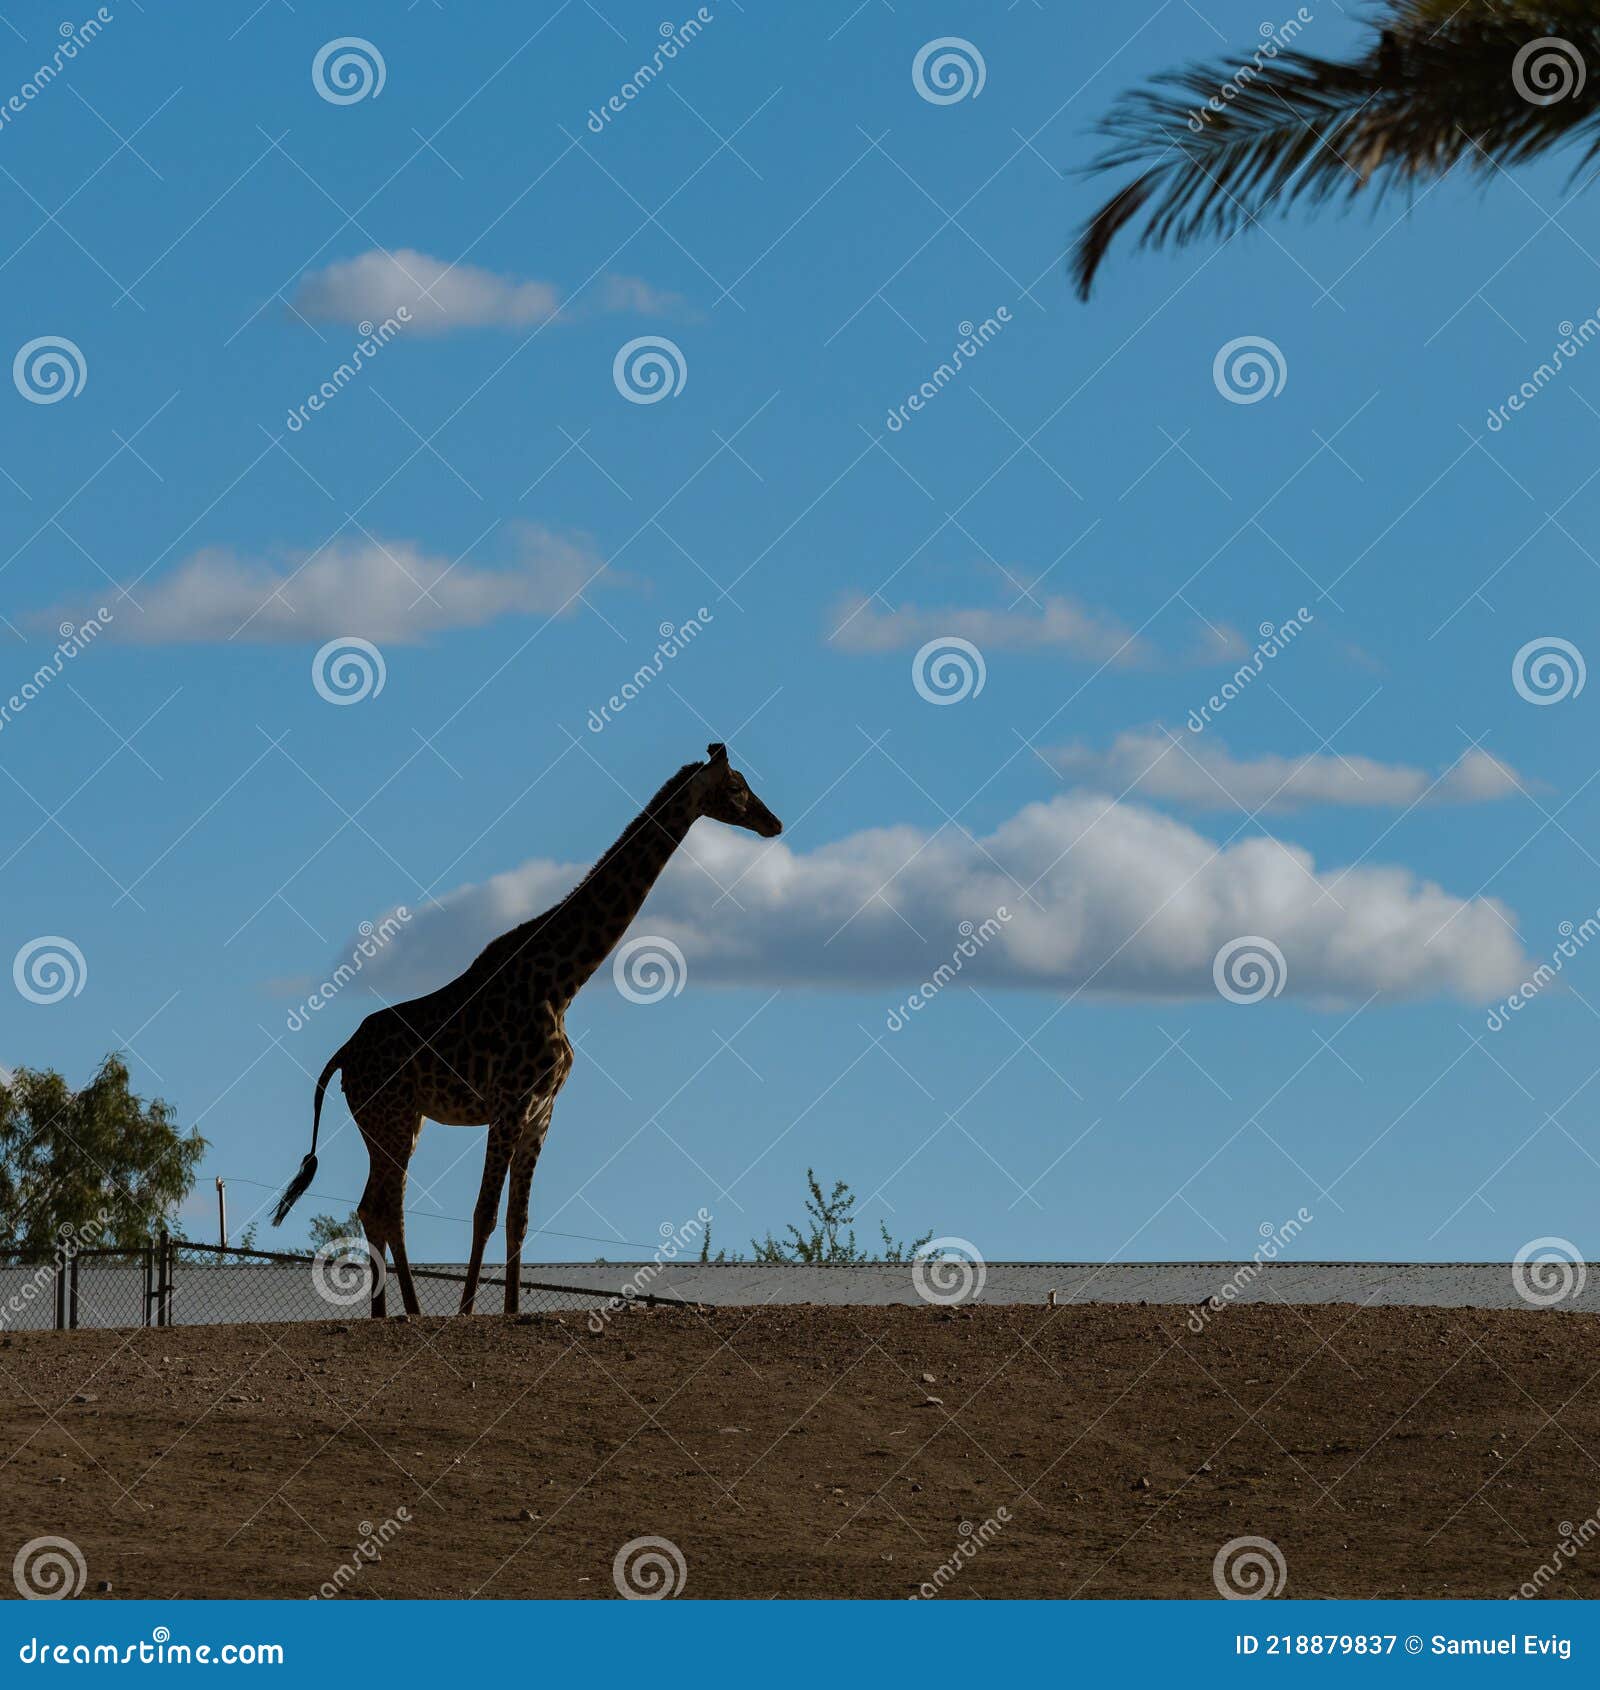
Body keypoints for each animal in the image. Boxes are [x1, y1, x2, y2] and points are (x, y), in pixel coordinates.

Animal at [271, 744, 782, 1319]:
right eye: (737, 786)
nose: (774, 823)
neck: (562, 984)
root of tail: (341, 1056)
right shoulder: (510, 1102)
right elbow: (484, 1212)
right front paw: (467, 1310)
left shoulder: (542, 1111)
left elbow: (518, 1219)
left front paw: (513, 1308)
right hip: (392, 1117)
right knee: (385, 1205)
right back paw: (411, 1312)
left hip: (396, 1121)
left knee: (373, 1205)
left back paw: (388, 1314)